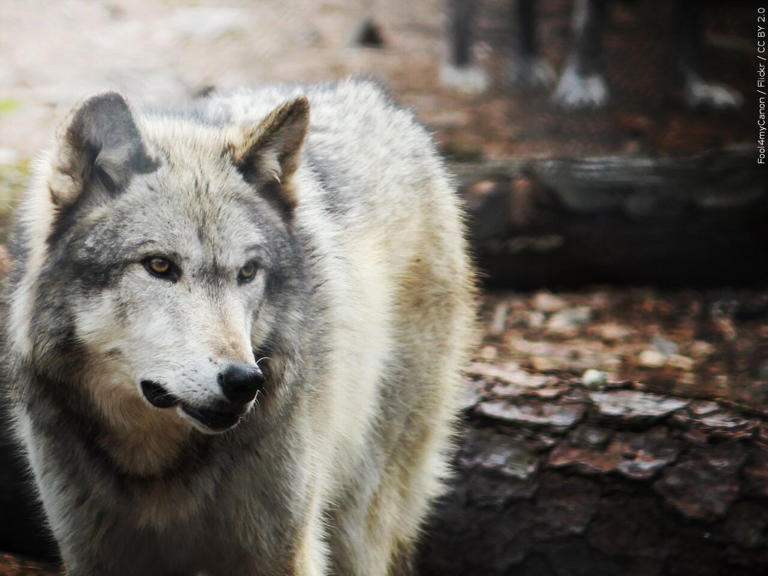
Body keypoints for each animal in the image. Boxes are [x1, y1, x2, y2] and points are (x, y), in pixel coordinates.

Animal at [1, 79, 475, 576]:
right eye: (159, 265)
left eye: (247, 272)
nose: (244, 381)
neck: (156, 466)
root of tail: (375, 97)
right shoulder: (93, 554)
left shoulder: (282, 552)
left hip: (361, 519)